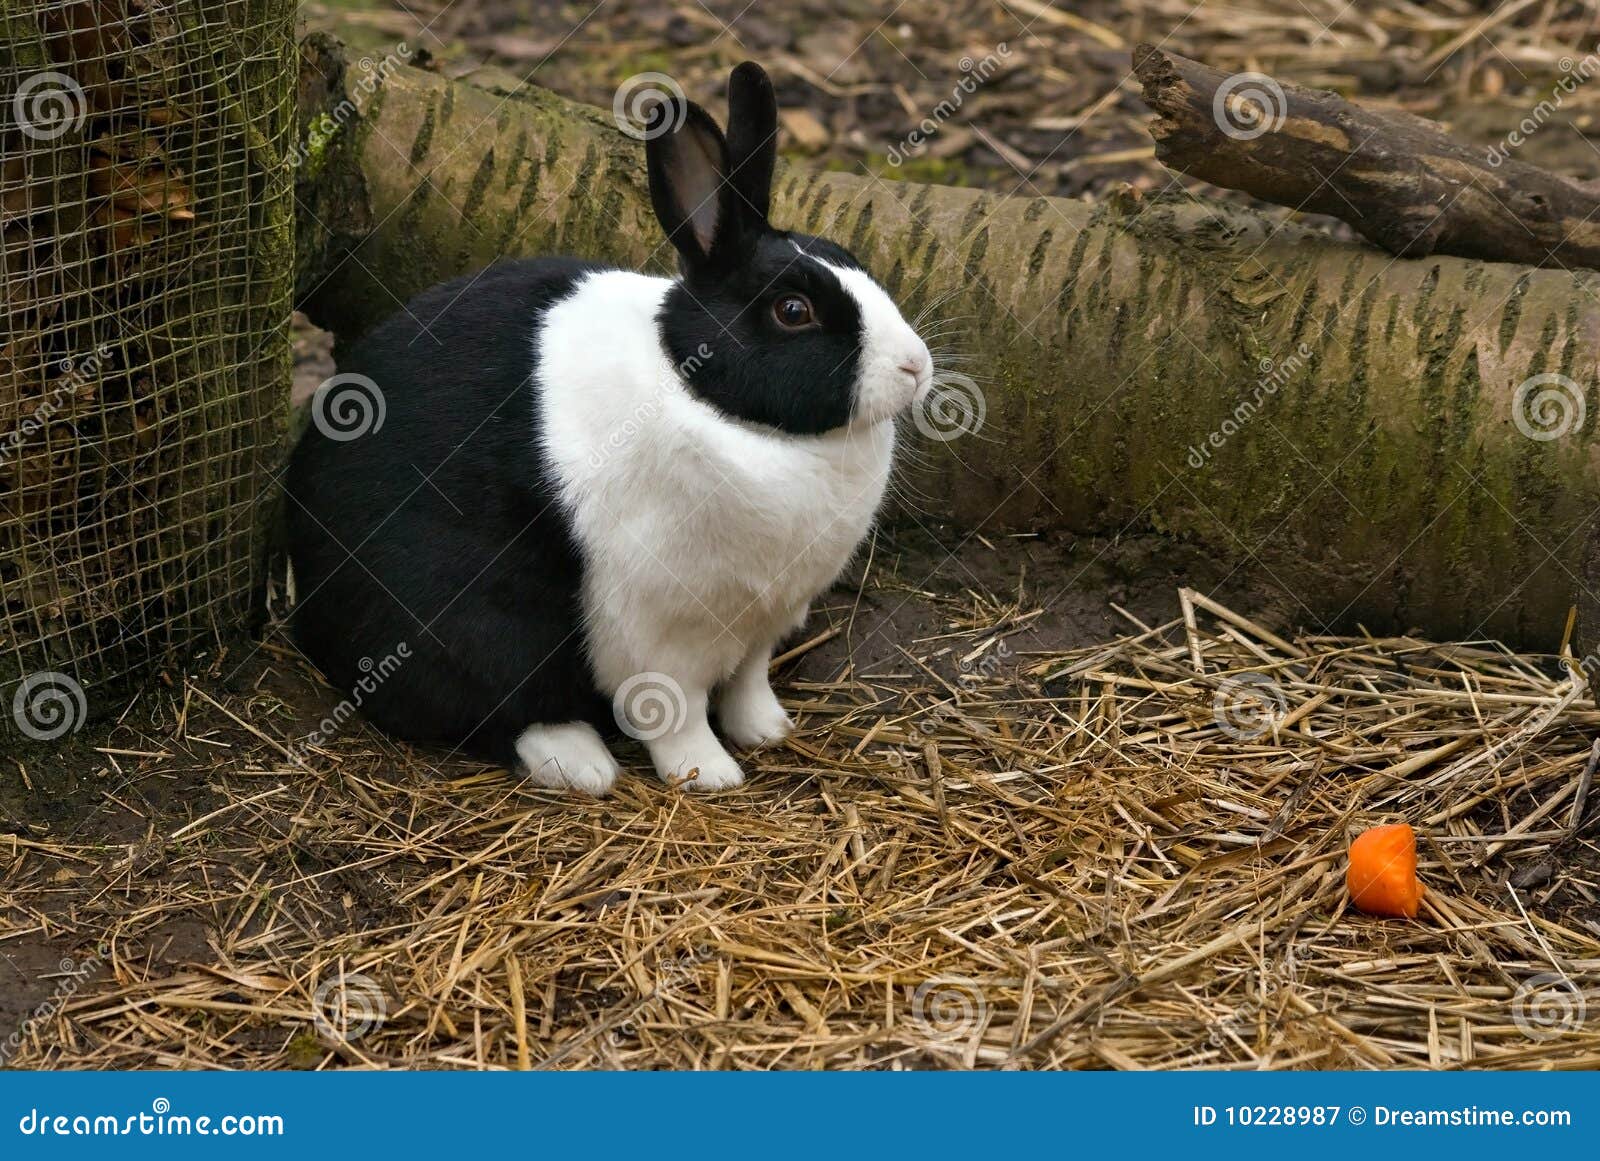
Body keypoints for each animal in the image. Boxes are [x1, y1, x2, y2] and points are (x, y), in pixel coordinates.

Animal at [283, 61, 932, 795]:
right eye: (794, 311)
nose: (916, 365)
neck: (720, 406)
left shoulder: (761, 624)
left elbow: (747, 680)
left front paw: (767, 730)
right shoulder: (658, 631)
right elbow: (673, 709)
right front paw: (710, 774)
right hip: (468, 626)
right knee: (490, 705)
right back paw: (581, 762)